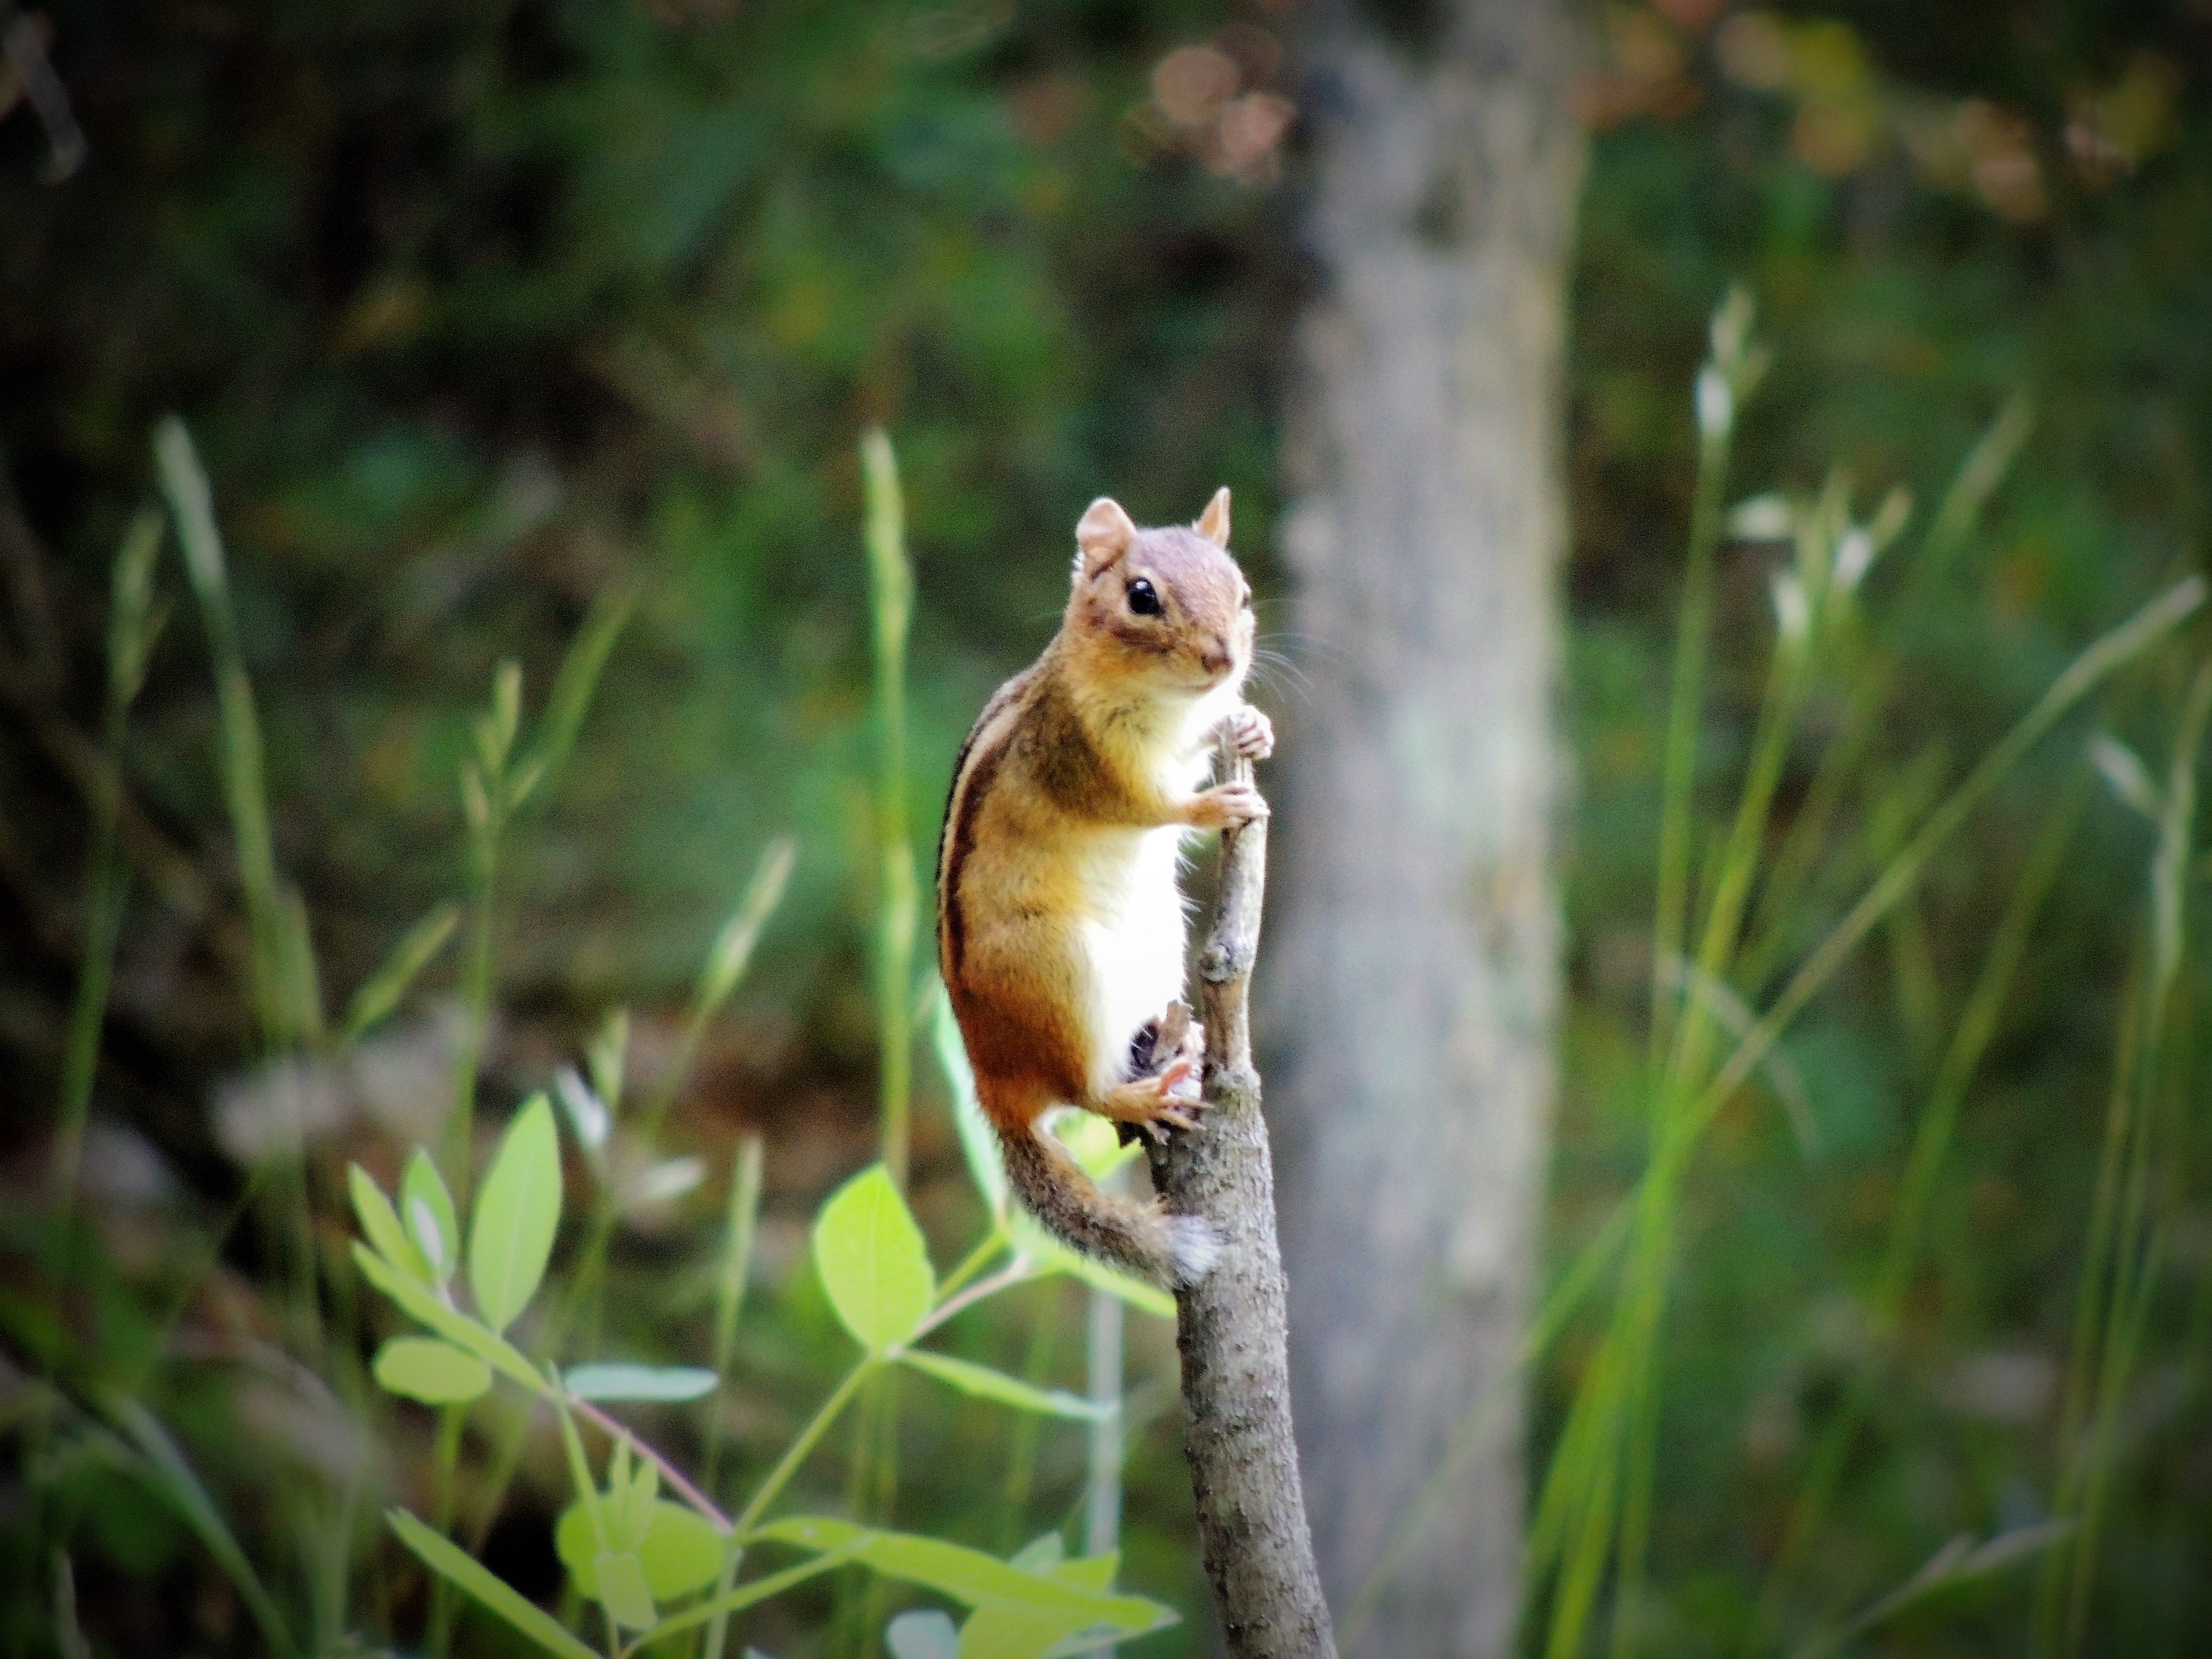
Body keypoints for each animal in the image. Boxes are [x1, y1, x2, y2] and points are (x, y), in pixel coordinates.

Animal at [936, 487, 1274, 1288]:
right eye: (1142, 597)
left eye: (1243, 592)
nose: (1223, 658)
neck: (1167, 703)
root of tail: (995, 1093)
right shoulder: (1087, 758)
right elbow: (1149, 804)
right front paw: (1217, 806)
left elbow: (1210, 738)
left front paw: (1252, 727)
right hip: (1059, 968)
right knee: (1084, 1091)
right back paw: (1138, 1093)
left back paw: (1182, 1035)